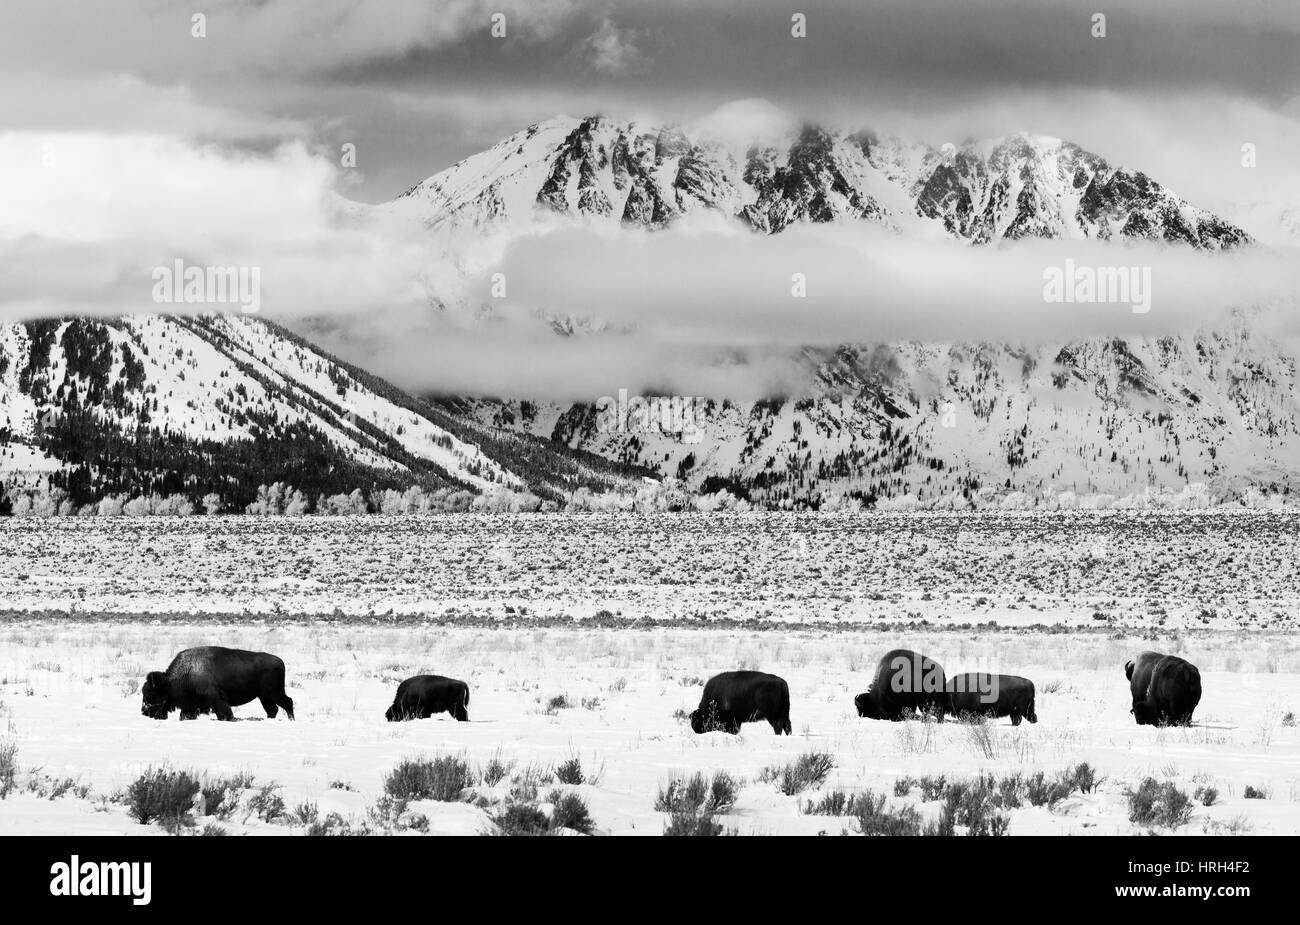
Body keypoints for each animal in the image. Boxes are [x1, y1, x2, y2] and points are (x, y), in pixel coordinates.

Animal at [141, 647, 293, 721]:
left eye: (151, 695)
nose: (144, 712)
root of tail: (280, 662)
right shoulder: (191, 704)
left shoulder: (216, 699)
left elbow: (224, 713)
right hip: (264, 696)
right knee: (272, 709)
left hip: (274, 693)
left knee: (287, 702)